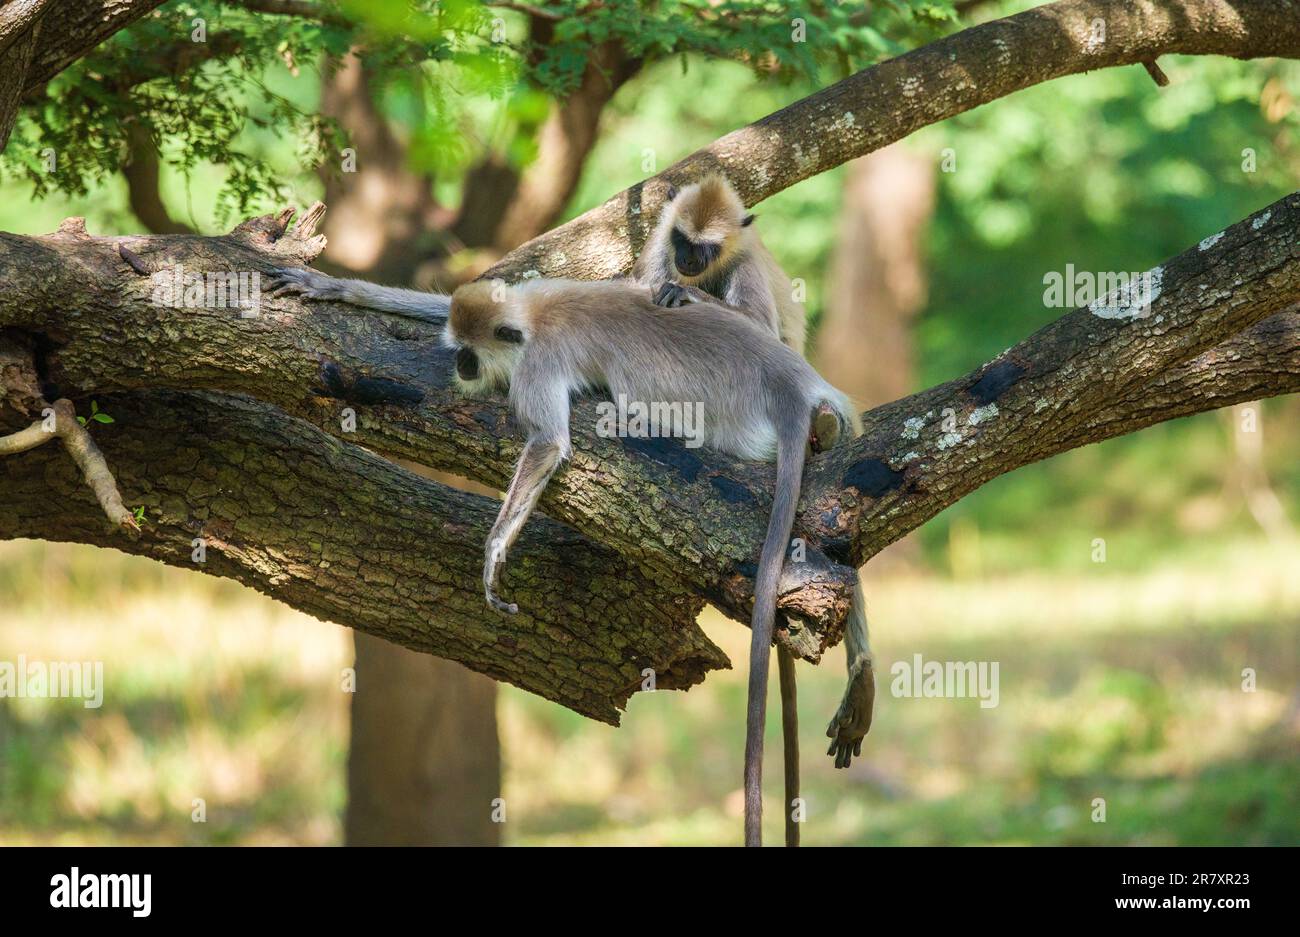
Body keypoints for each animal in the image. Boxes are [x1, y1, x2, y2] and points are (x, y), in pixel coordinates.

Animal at [443, 276, 859, 847]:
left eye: (469, 354)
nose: (458, 367)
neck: (535, 316)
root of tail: (787, 384)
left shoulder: (538, 363)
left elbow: (548, 443)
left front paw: (495, 550)